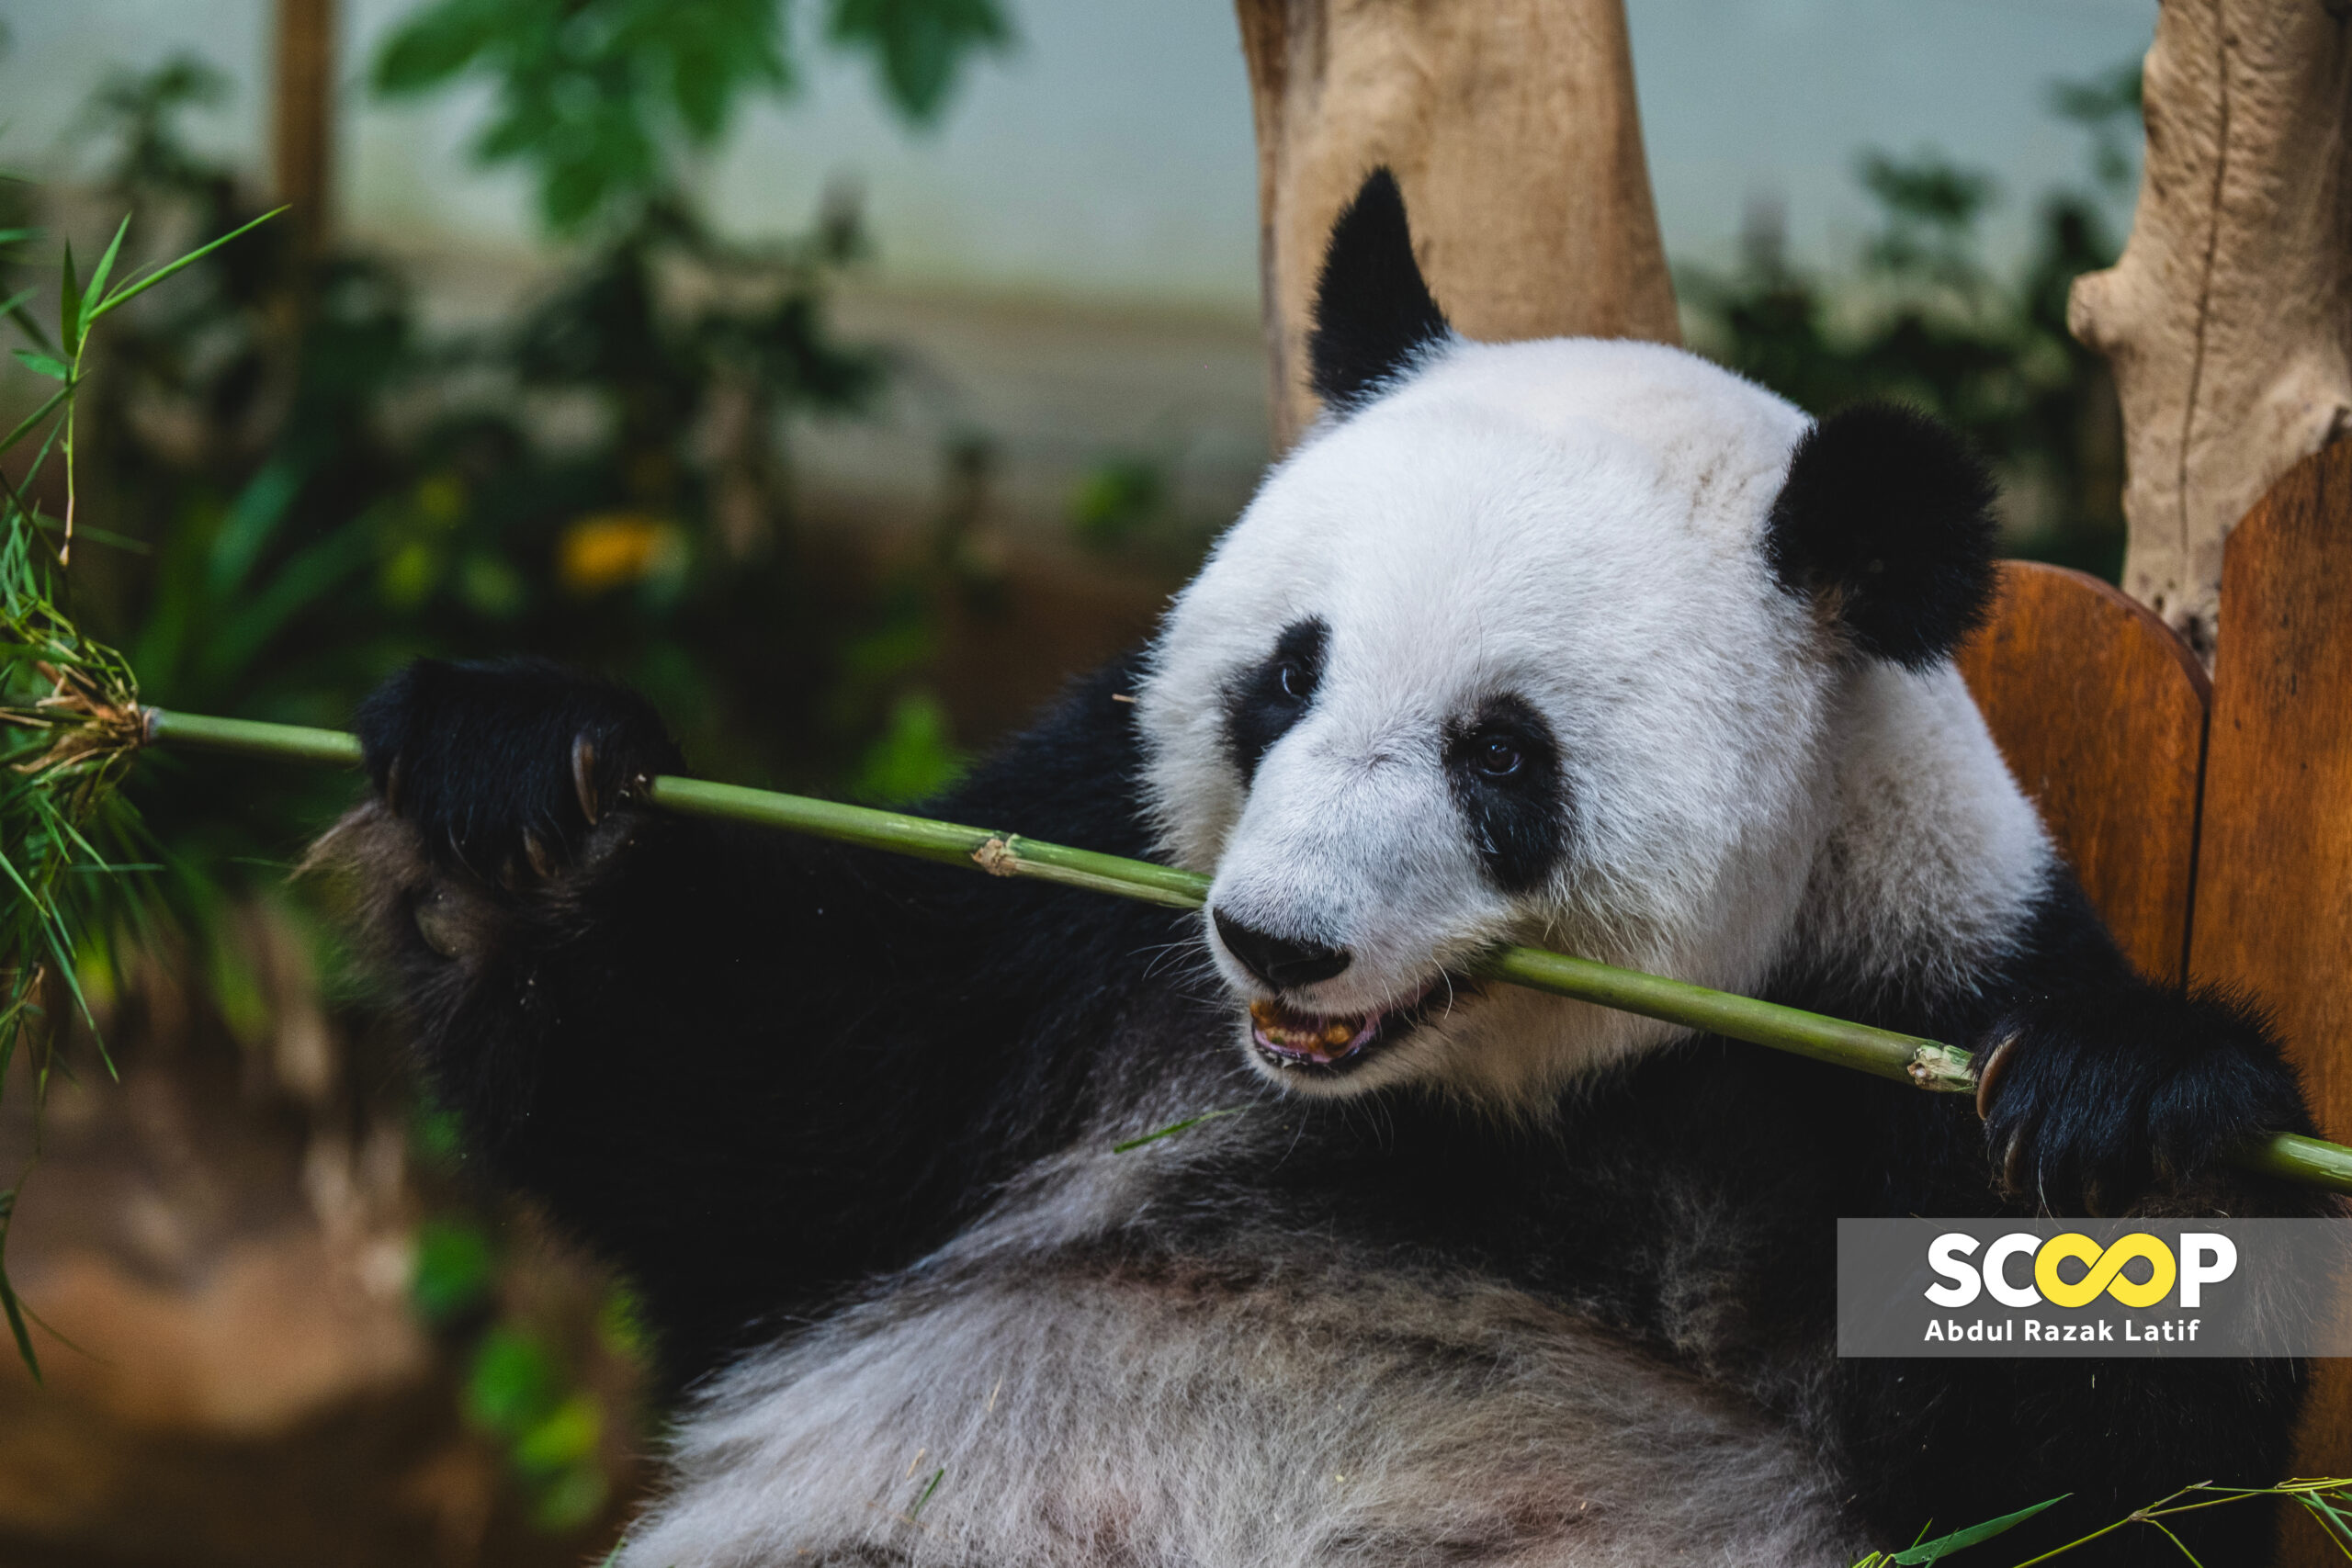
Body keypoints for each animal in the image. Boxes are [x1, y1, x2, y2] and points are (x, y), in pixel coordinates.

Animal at [330, 169, 2326, 1566]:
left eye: (1500, 754)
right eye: (1286, 673)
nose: (1273, 943)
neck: (1474, 1103)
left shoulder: (1895, 1000)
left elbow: (2092, 1488)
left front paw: (2127, 1124)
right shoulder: (1076, 910)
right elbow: (762, 1121)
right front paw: (519, 793)